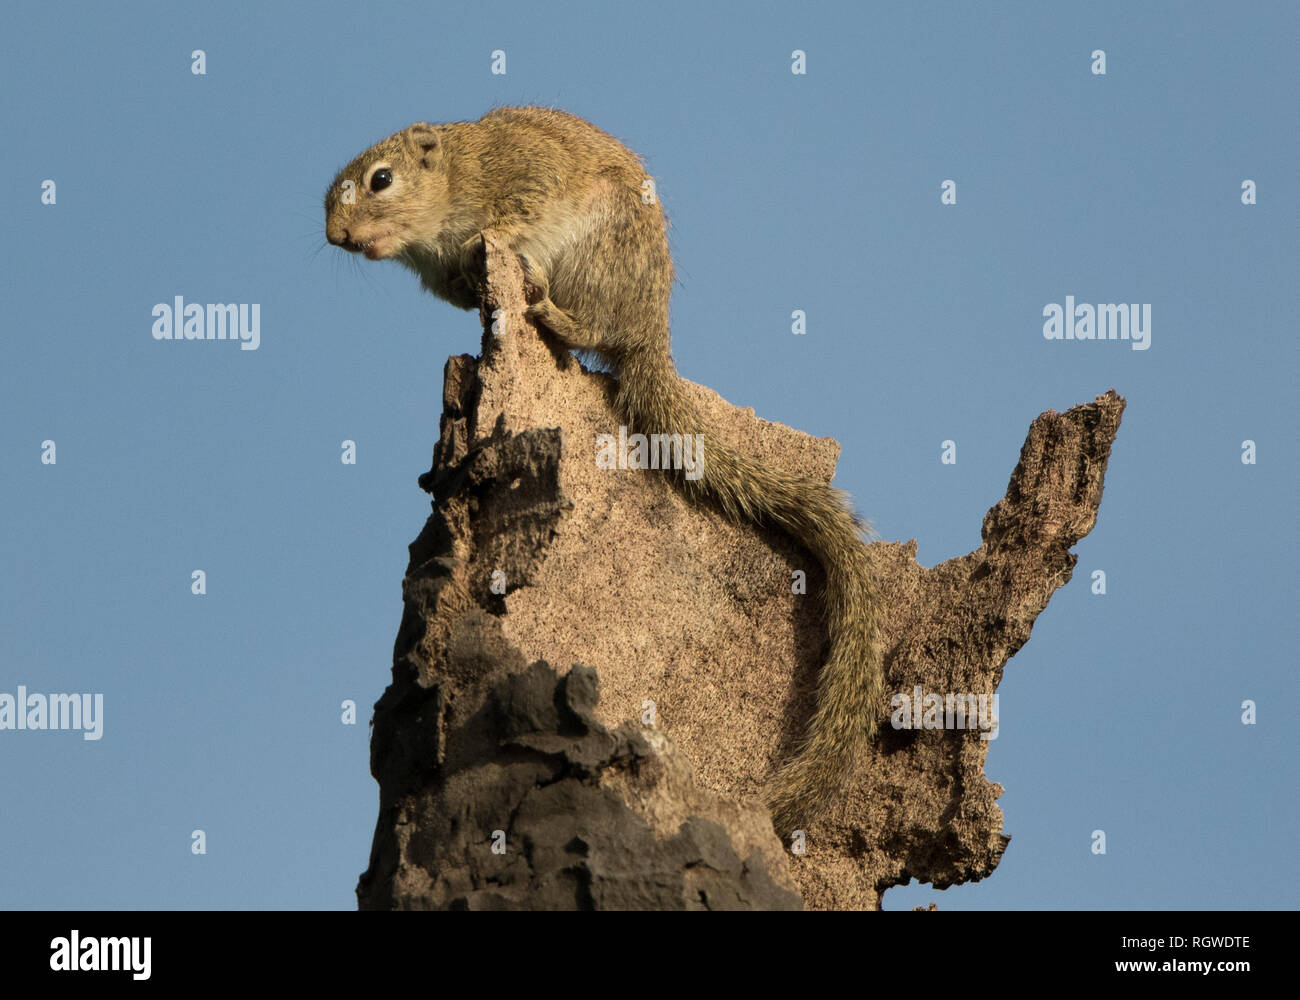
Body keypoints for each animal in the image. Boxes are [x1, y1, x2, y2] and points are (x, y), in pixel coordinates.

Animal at [324, 106, 882, 834]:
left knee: (594, 332)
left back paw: (550, 310)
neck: (450, 183)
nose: (335, 236)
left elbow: (517, 208)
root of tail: (652, 331)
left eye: (381, 180)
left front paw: (487, 238)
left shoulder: (520, 171)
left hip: (600, 247)